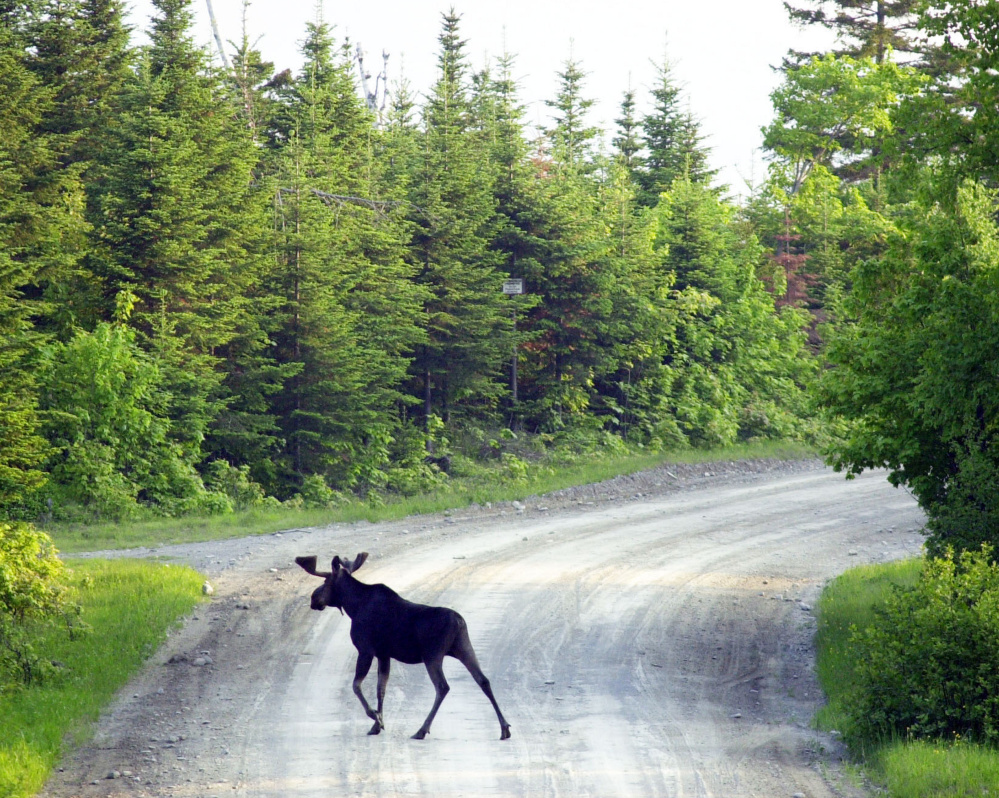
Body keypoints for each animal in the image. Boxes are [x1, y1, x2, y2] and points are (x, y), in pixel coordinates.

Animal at [295, 553, 512, 741]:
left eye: (325, 582)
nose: (313, 599)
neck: (352, 606)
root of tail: (459, 622)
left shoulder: (365, 649)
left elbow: (356, 685)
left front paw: (375, 717)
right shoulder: (384, 654)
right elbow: (381, 688)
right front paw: (377, 725)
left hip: (432, 654)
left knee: (443, 686)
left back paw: (421, 730)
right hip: (463, 646)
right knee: (483, 680)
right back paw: (504, 728)